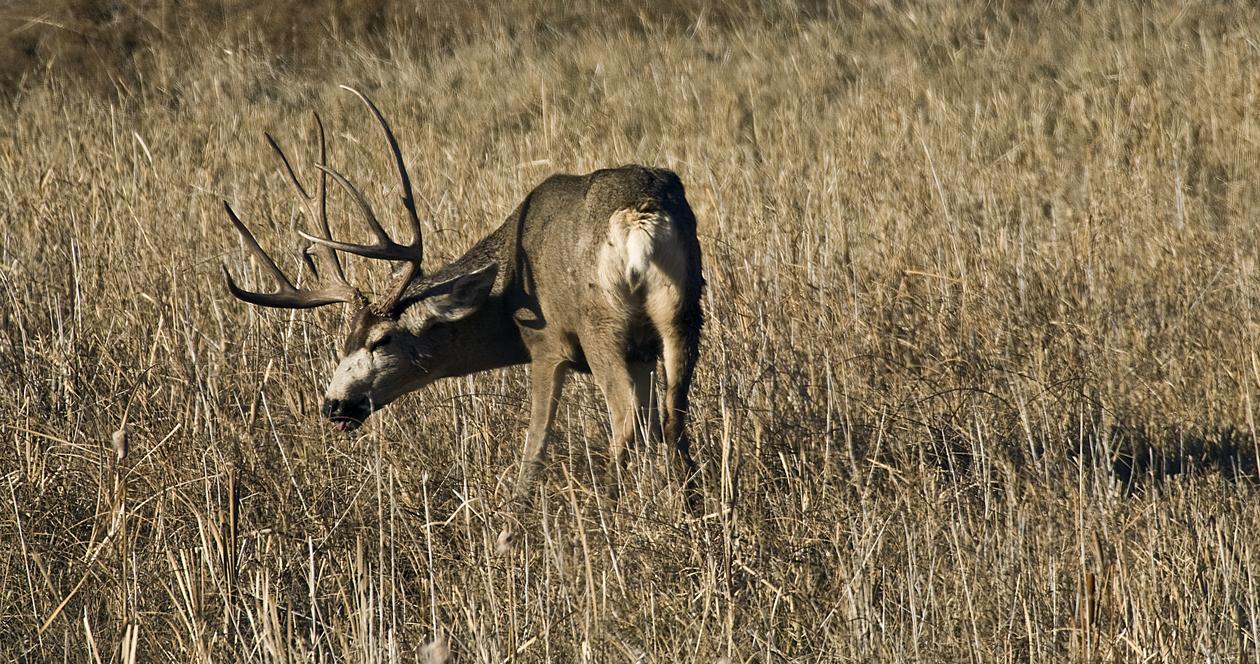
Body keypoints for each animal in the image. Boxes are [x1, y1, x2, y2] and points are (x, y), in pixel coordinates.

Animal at [222, 87, 704, 502]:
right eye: (345, 342)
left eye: (382, 339)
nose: (333, 404)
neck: (507, 298)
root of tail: (640, 217)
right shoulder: (640, 351)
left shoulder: (546, 342)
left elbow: (535, 445)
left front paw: (515, 519)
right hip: (682, 310)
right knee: (673, 415)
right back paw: (691, 510)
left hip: (599, 324)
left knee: (626, 415)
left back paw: (602, 506)